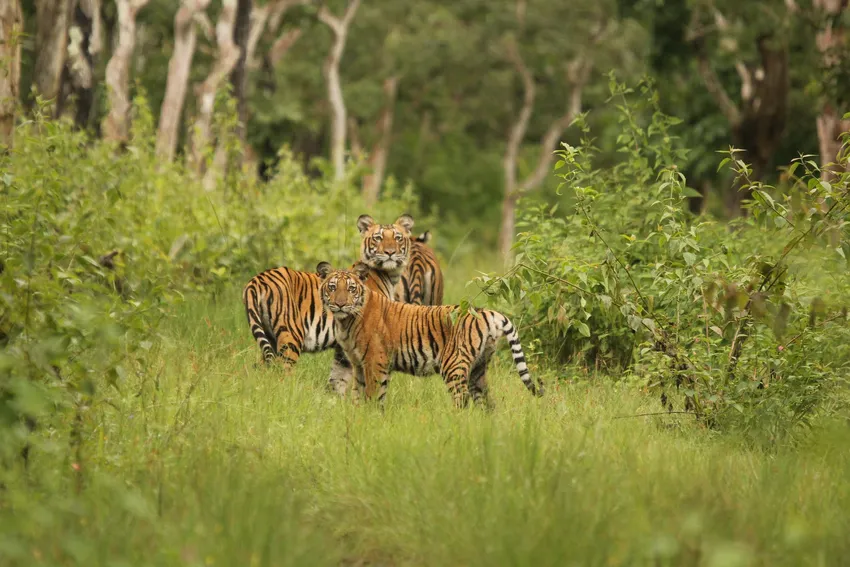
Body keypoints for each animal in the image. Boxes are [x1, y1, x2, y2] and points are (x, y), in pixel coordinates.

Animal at [317, 261, 545, 408]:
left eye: (351, 289)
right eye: (332, 287)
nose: (340, 304)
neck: (346, 321)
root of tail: (485, 311)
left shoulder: (375, 361)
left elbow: (374, 395)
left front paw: (372, 419)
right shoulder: (358, 364)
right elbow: (357, 394)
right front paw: (358, 417)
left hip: (454, 365)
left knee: (462, 401)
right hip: (478, 369)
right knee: (487, 403)